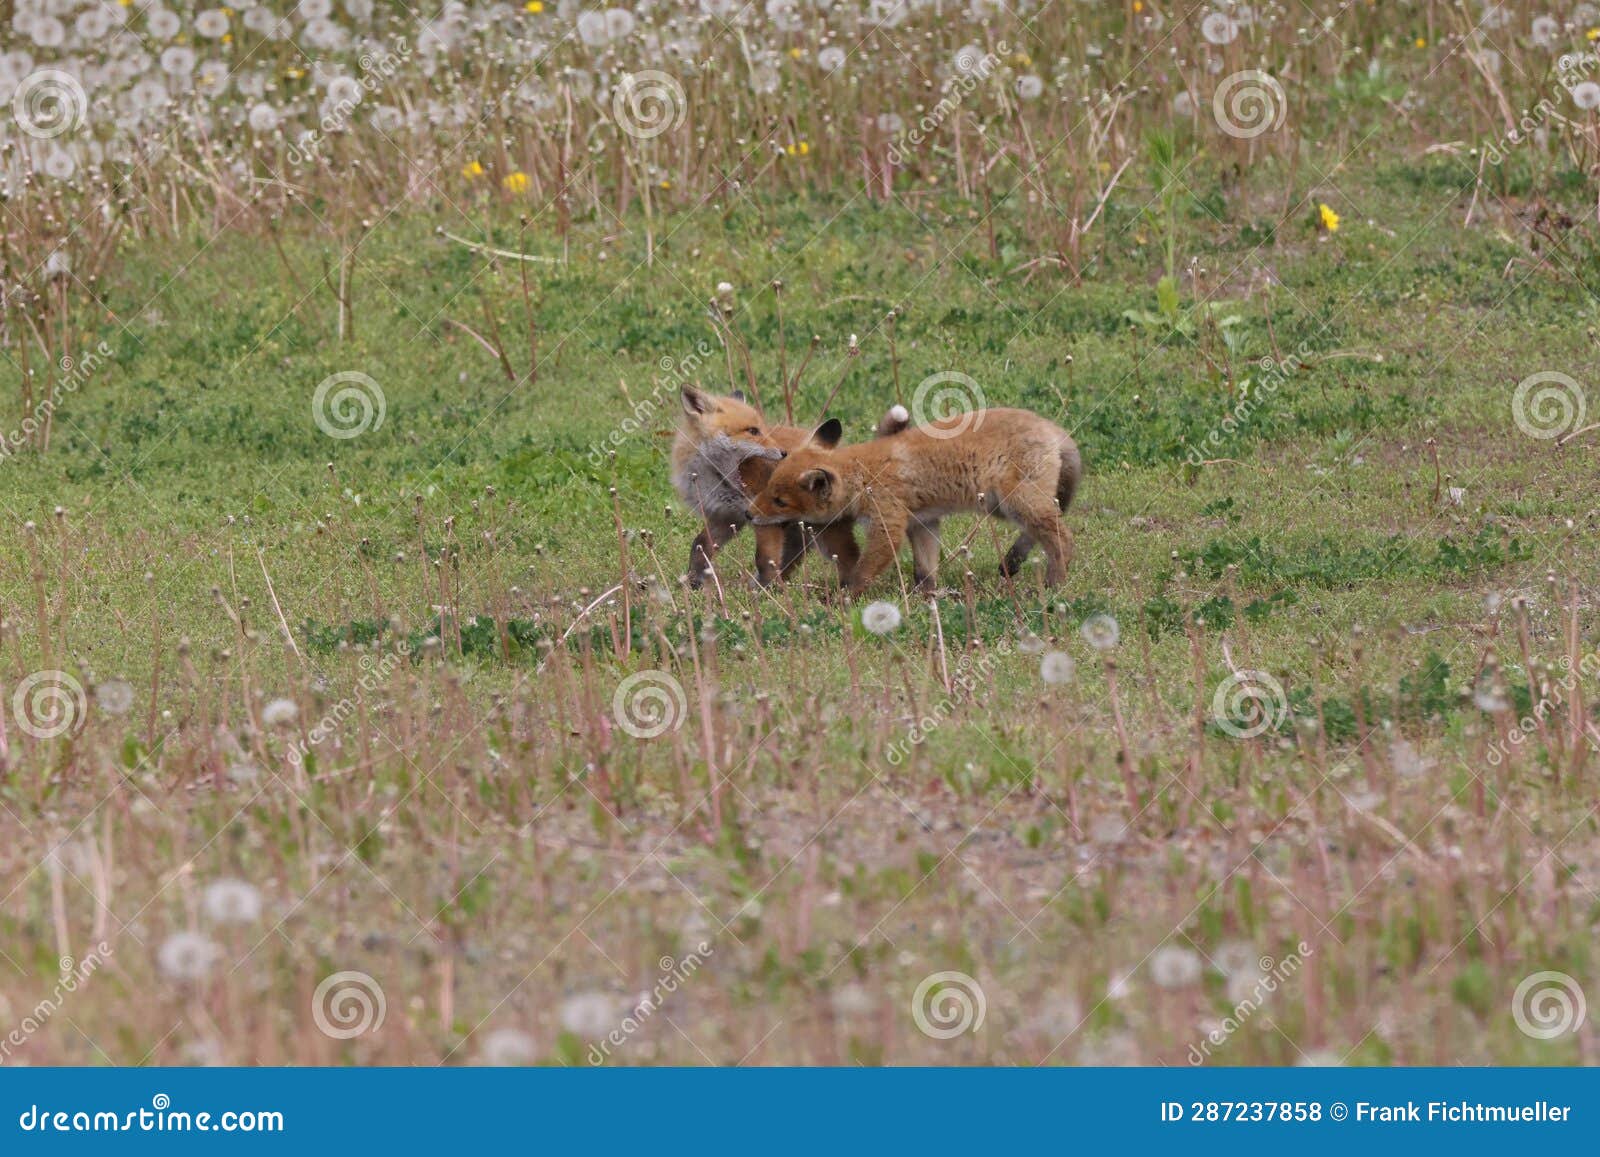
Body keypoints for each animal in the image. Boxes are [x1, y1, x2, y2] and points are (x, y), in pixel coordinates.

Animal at [672, 385, 910, 588]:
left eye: (762, 429)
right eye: (752, 431)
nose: (783, 453)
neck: (714, 478)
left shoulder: (762, 516)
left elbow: (764, 559)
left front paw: (767, 594)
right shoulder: (727, 517)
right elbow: (699, 546)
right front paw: (694, 581)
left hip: (824, 531)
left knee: (849, 556)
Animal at [739, 407, 1081, 596]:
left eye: (780, 501)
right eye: (768, 488)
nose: (748, 513)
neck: (864, 475)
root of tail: (1054, 429)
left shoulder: (888, 523)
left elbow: (864, 570)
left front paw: (844, 598)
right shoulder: (923, 522)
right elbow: (925, 569)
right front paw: (925, 596)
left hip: (1017, 502)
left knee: (1062, 538)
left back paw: (1054, 582)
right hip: (1004, 506)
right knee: (1041, 532)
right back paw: (1012, 562)